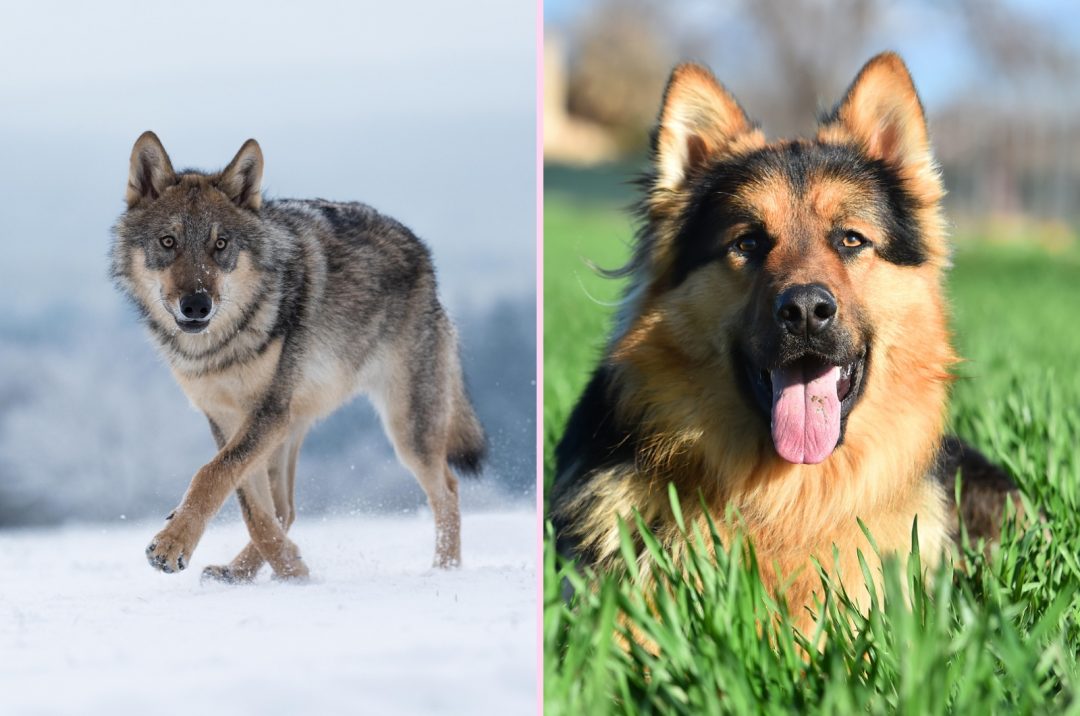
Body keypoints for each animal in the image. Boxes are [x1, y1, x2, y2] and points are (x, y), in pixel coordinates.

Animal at [111, 132, 485, 580]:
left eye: (220, 245)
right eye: (168, 242)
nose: (197, 305)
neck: (221, 346)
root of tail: (422, 253)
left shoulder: (267, 413)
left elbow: (212, 475)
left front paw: (171, 545)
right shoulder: (227, 418)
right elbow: (249, 505)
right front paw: (291, 568)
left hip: (406, 427)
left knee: (447, 489)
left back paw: (444, 570)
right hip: (294, 426)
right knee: (285, 509)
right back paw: (243, 572)